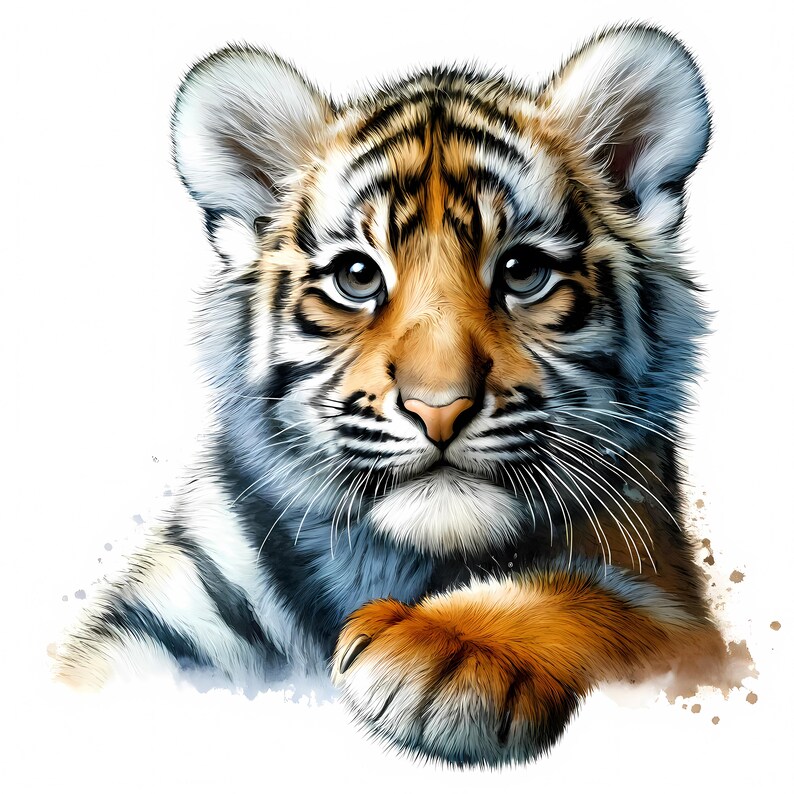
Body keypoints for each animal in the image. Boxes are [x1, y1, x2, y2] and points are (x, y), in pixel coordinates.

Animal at [55, 23, 728, 766]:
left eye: (522, 271)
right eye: (357, 275)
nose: (439, 407)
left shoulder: (675, 602)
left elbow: (609, 604)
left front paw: (443, 654)